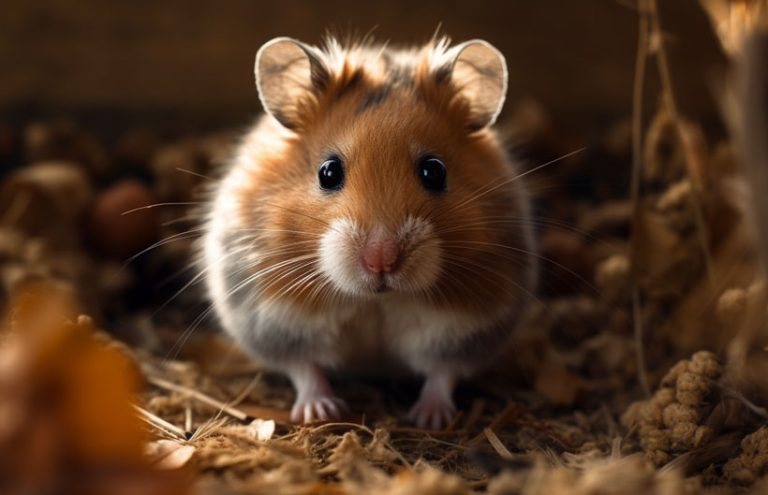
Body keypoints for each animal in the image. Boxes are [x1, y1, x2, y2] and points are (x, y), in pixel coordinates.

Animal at [202, 35, 537, 429]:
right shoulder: (274, 319)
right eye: (328, 171)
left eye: (434, 171)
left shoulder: (469, 325)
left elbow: (443, 373)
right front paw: (321, 412)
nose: (382, 260)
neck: (377, 301)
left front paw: (430, 420)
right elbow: (303, 367)